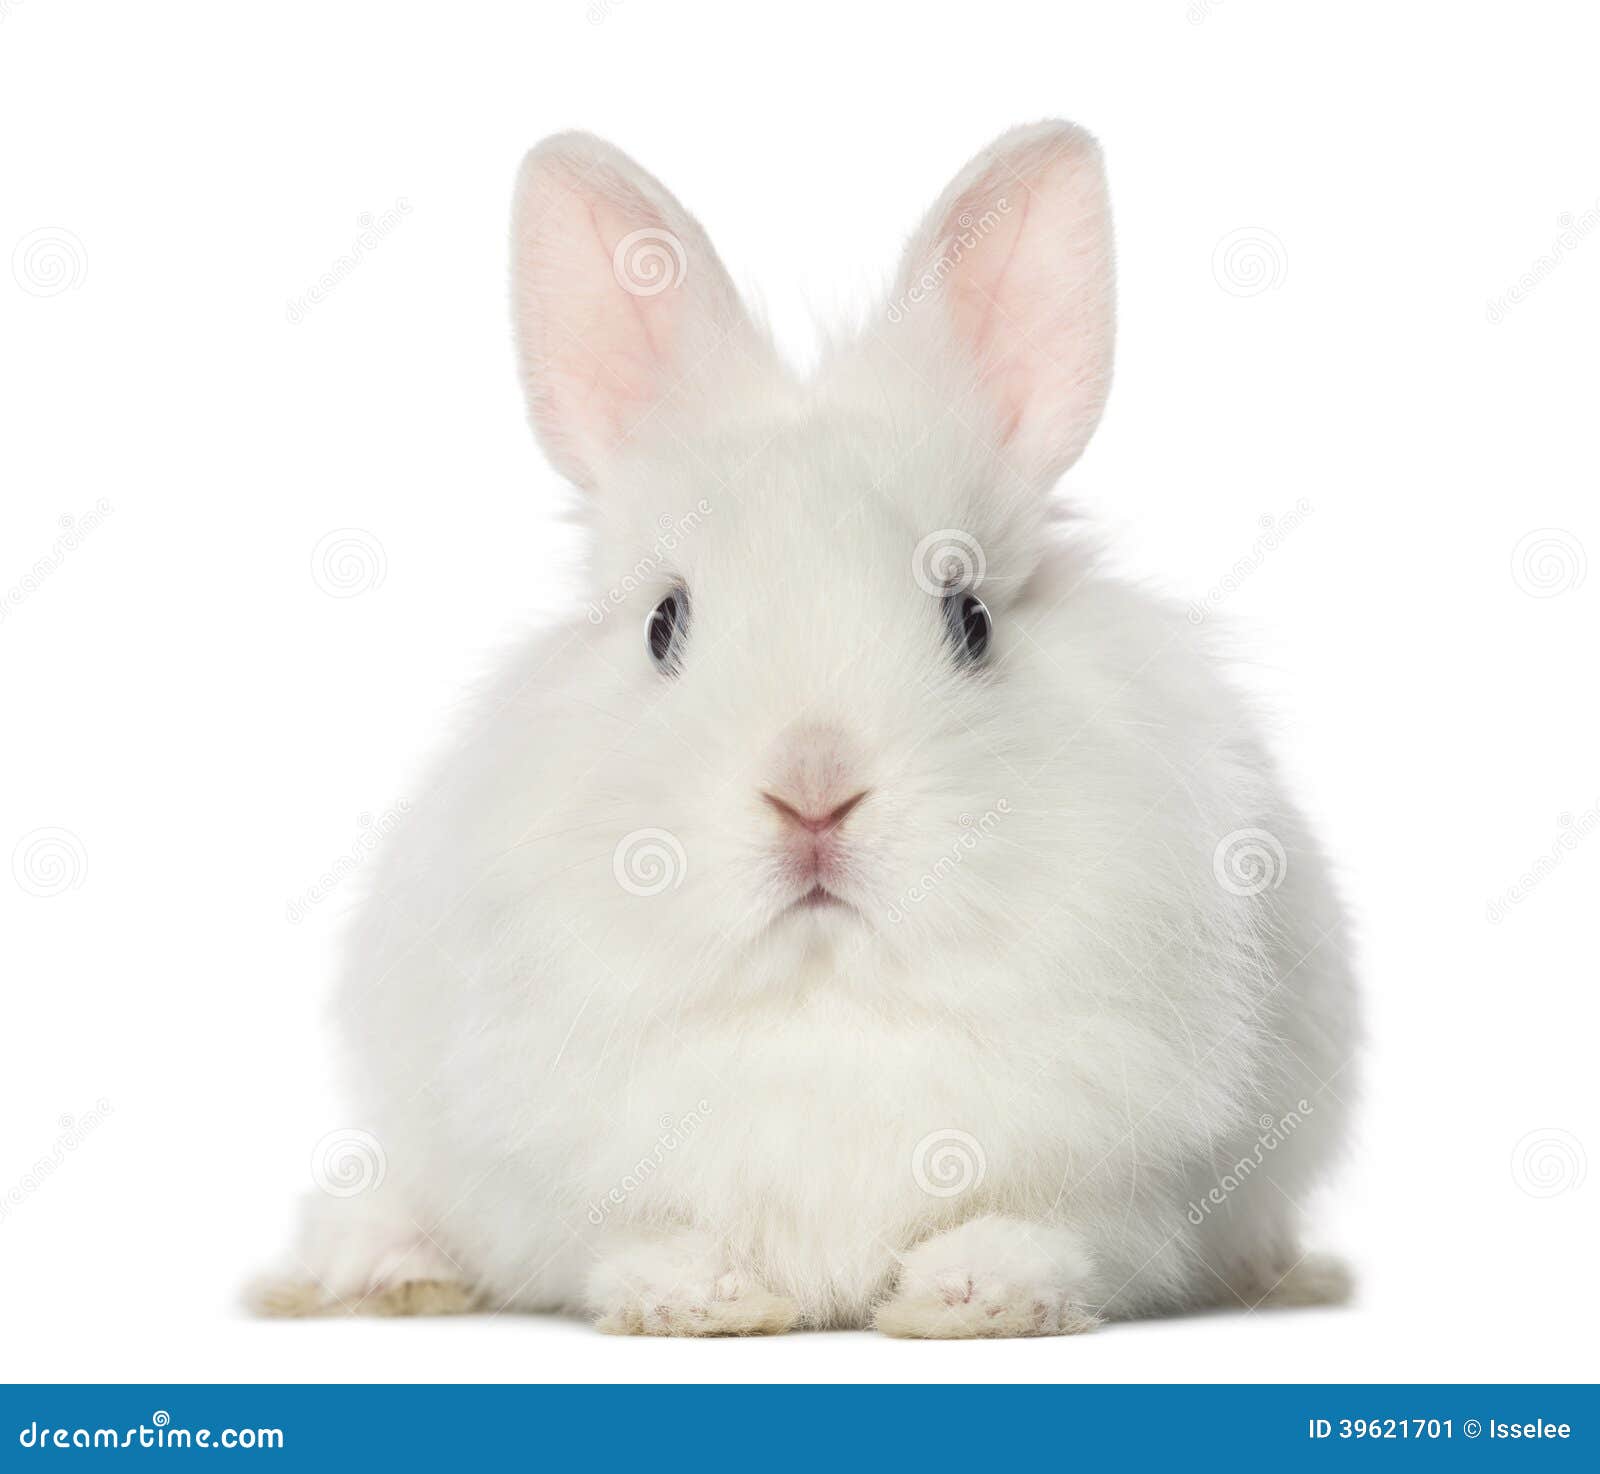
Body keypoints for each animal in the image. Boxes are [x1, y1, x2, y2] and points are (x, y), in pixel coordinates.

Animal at [253, 121, 1357, 1338]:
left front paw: (971, 1296)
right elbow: (626, 1237)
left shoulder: (1131, 1187)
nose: (814, 793)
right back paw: (382, 1267)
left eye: (969, 616)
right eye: (663, 623)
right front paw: (700, 1298)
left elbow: (1051, 1232)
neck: (824, 997)